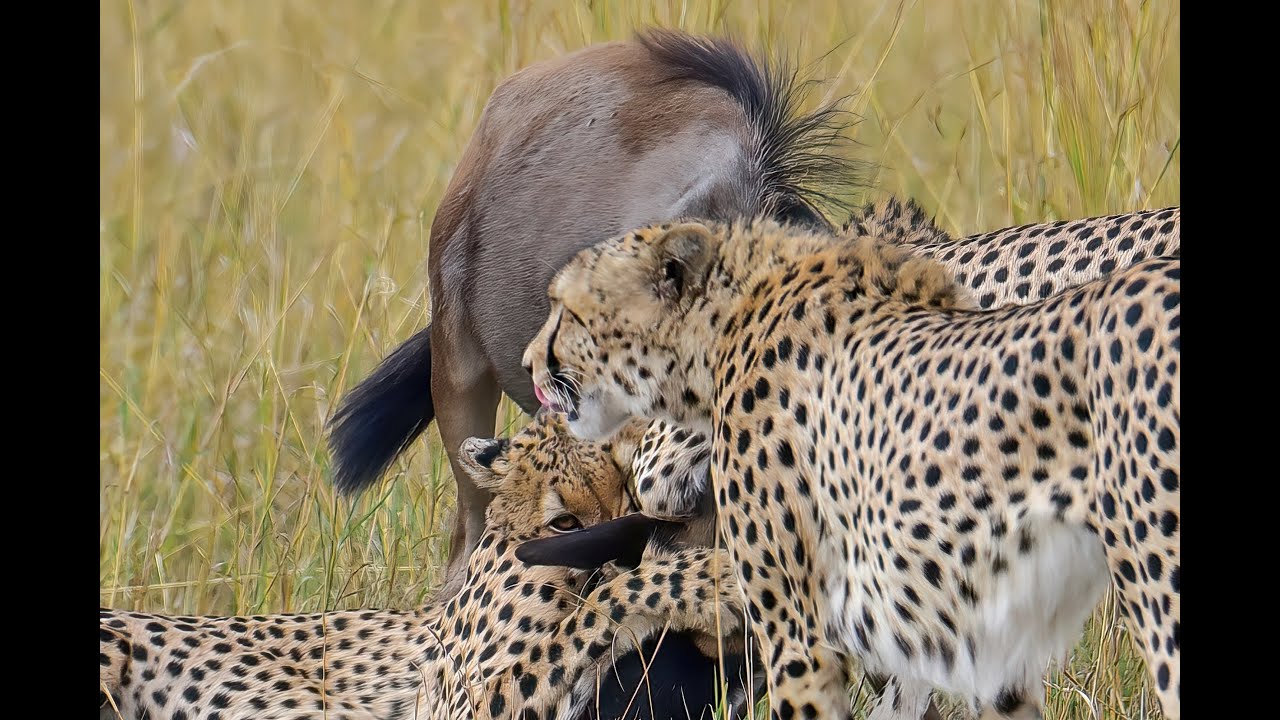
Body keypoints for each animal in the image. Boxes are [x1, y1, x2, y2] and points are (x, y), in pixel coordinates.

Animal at [100, 412, 744, 720]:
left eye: (629, 494)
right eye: (564, 522)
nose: (620, 546)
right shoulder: (460, 707)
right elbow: (601, 609)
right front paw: (714, 581)